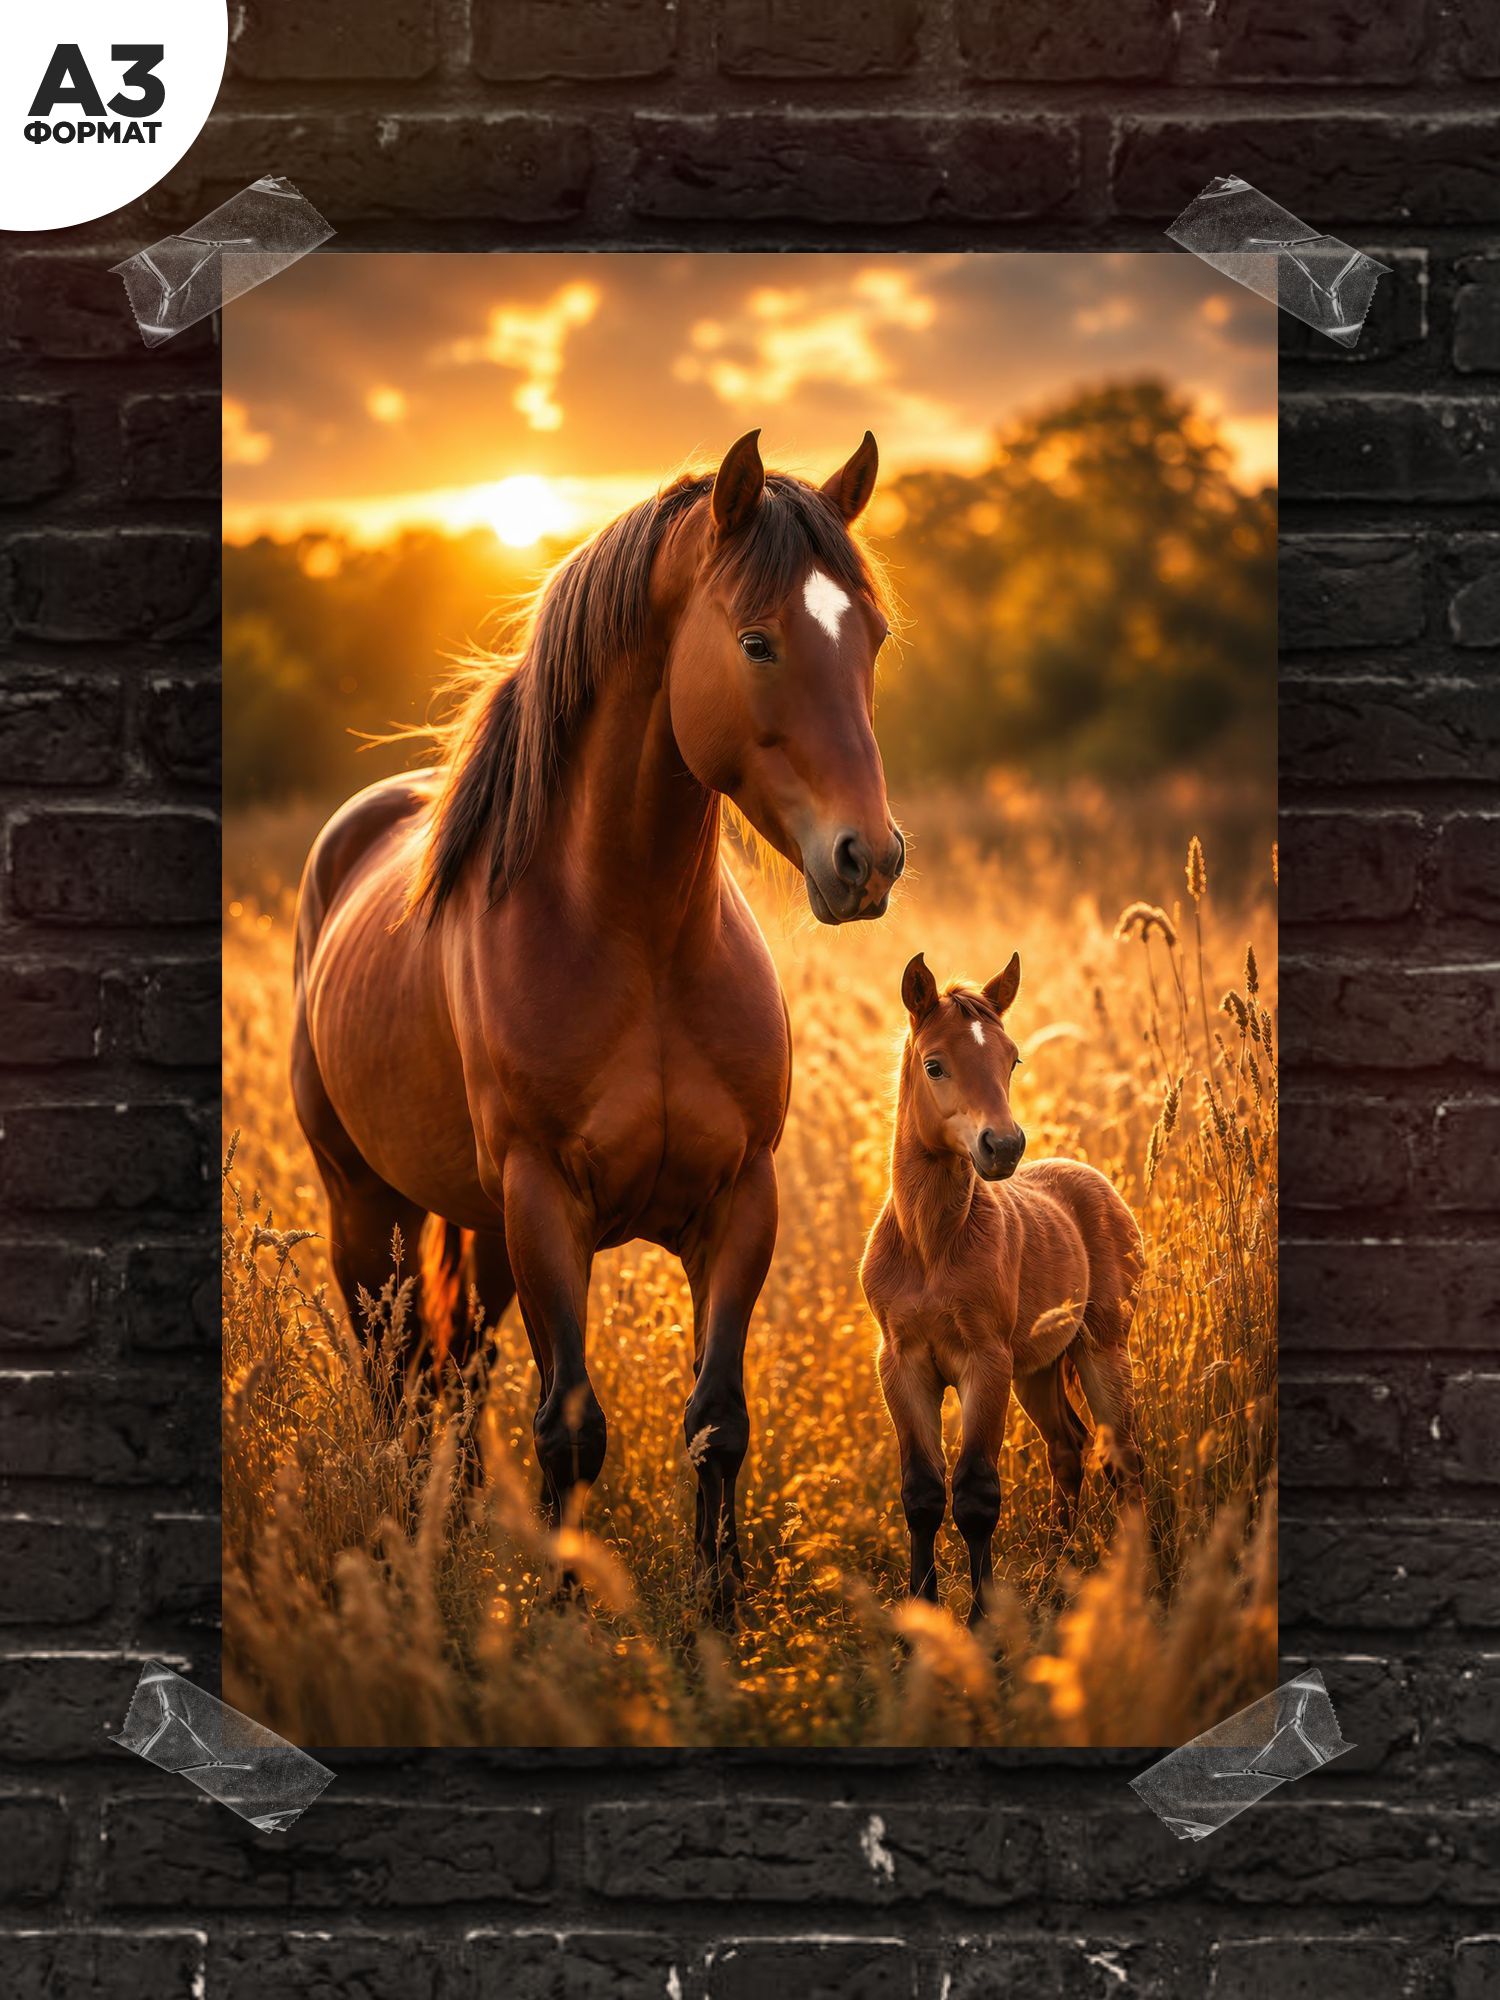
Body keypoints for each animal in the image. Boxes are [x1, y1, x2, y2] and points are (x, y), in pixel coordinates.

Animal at [292, 428, 905, 1616]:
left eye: (873, 636)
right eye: (757, 640)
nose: (868, 859)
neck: (640, 934)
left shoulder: (738, 1200)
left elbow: (717, 1422)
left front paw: (717, 1615)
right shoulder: (545, 1201)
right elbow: (571, 1426)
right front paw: (566, 1617)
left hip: (475, 1228)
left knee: (457, 1373)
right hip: (368, 1210)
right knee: (398, 1378)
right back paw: (404, 1550)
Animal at [859, 951, 1144, 1626]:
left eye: (1012, 1059)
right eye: (935, 1063)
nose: (1004, 1145)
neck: (932, 1244)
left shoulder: (983, 1364)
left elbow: (975, 1494)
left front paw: (982, 1623)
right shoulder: (902, 1364)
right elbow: (922, 1492)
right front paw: (921, 1615)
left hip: (1101, 1351)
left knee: (1122, 1458)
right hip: (1036, 1371)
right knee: (1068, 1448)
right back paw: (1052, 1581)